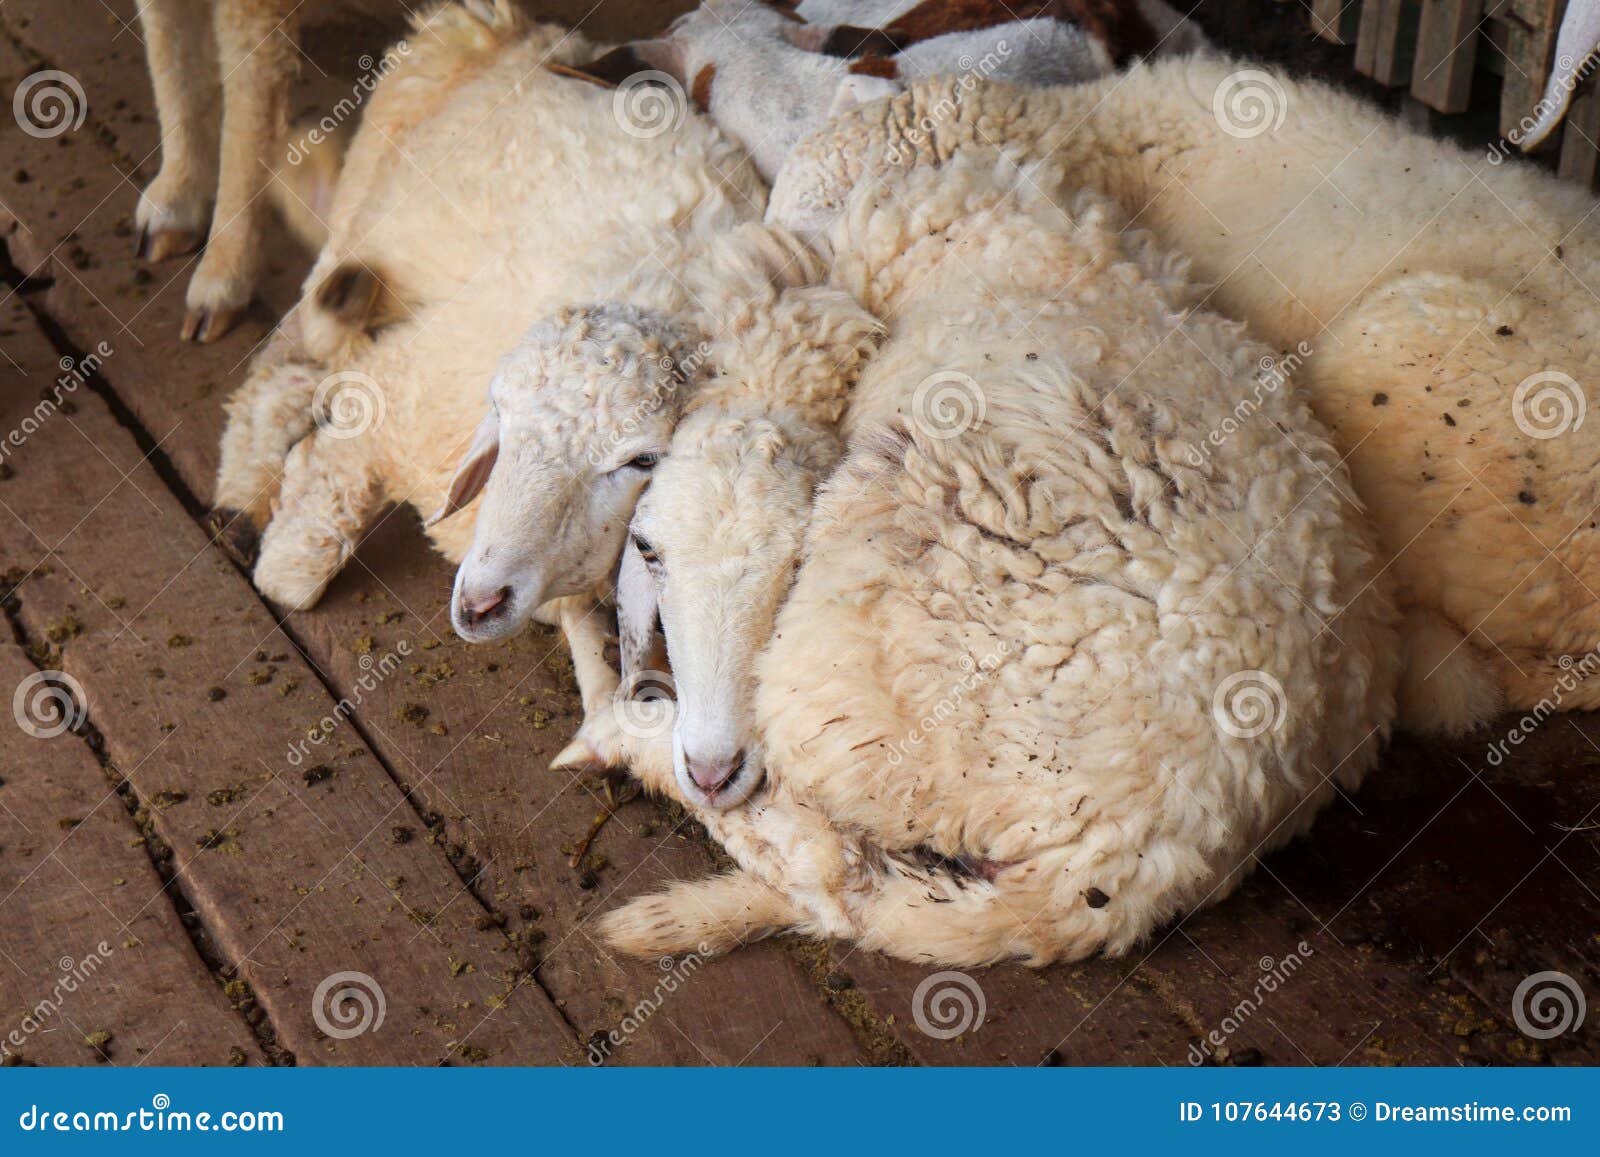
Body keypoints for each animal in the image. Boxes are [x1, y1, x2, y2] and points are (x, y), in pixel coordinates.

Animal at [212, 1, 767, 765]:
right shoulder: (398, 391)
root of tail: (511, 31)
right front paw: (284, 559)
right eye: (501, 417)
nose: (480, 602)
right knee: (294, 350)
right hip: (367, 210)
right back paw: (244, 493)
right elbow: (306, 546)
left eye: (641, 460)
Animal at [589, 150, 1399, 966]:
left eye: (793, 558)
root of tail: (1130, 863)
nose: (710, 771)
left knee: (835, 869)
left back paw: (621, 741)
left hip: (851, 691)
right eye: (649, 551)